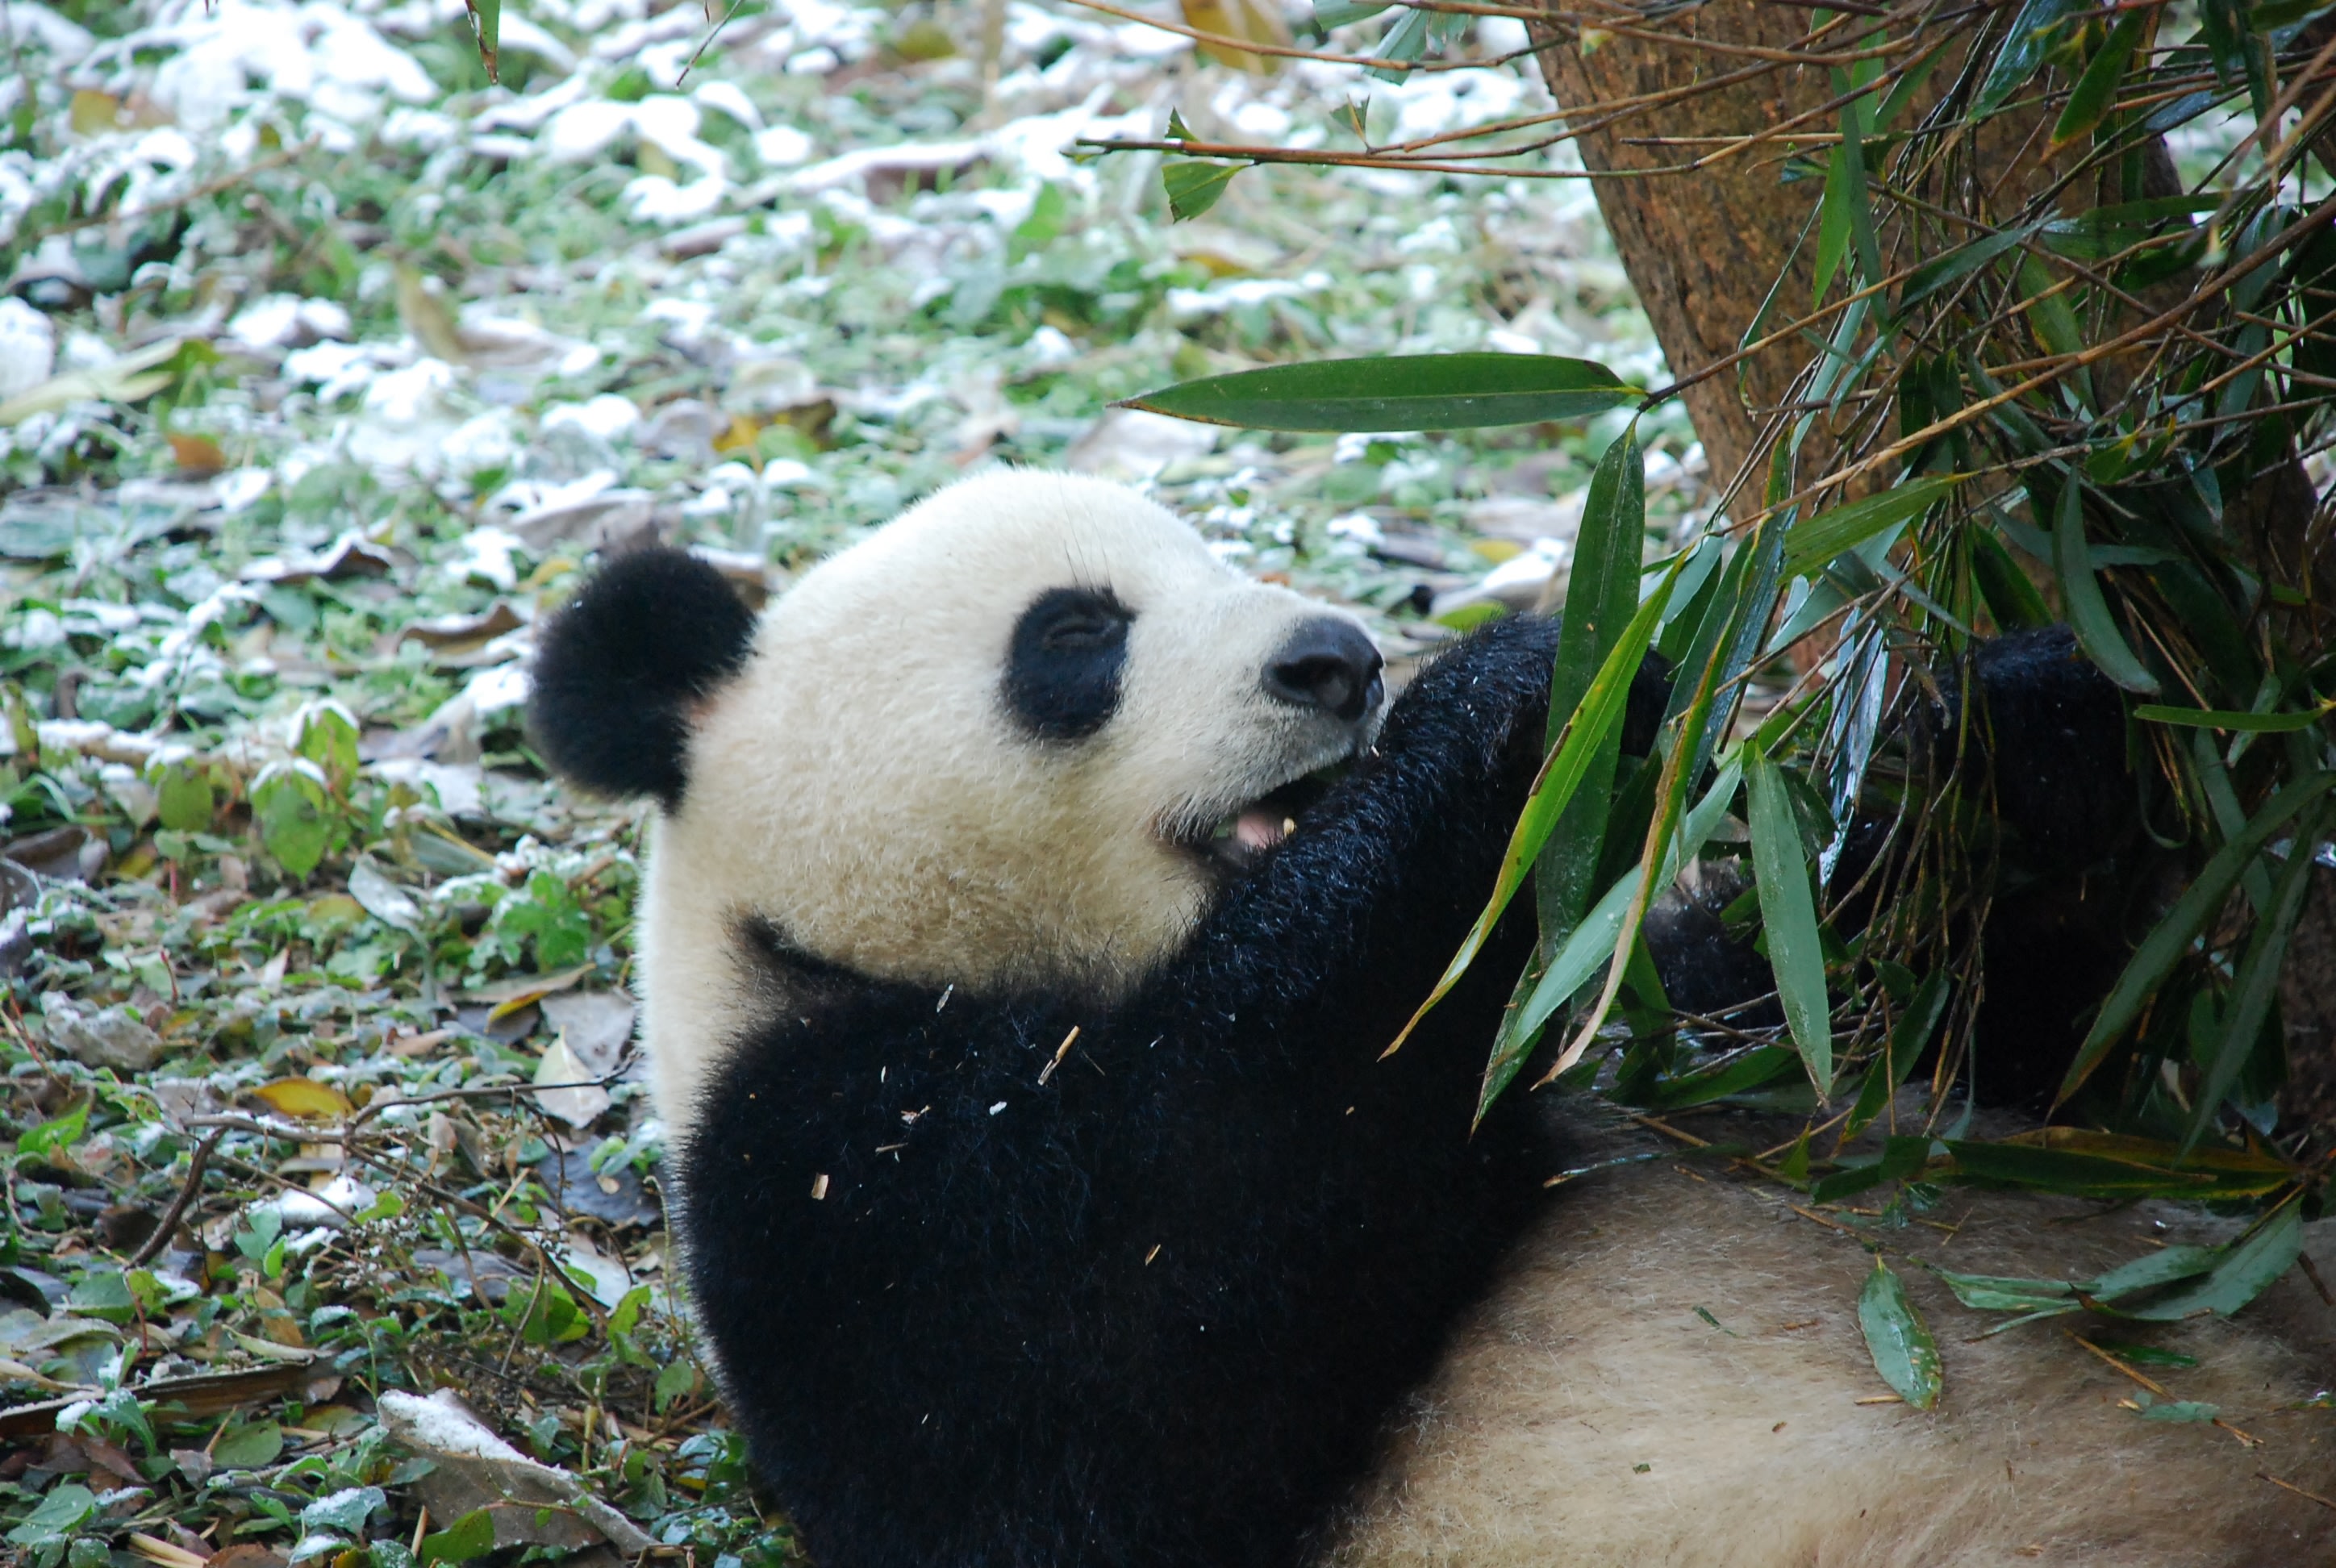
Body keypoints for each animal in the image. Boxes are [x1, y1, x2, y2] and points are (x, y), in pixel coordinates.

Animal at [527, 471, 2336, 1568]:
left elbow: (1907, 1024)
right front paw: (1532, 689)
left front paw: (2018, 741)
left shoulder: (1626, 993)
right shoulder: (828, 1176)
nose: (1334, 659)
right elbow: (1129, 1339)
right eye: (1079, 631)